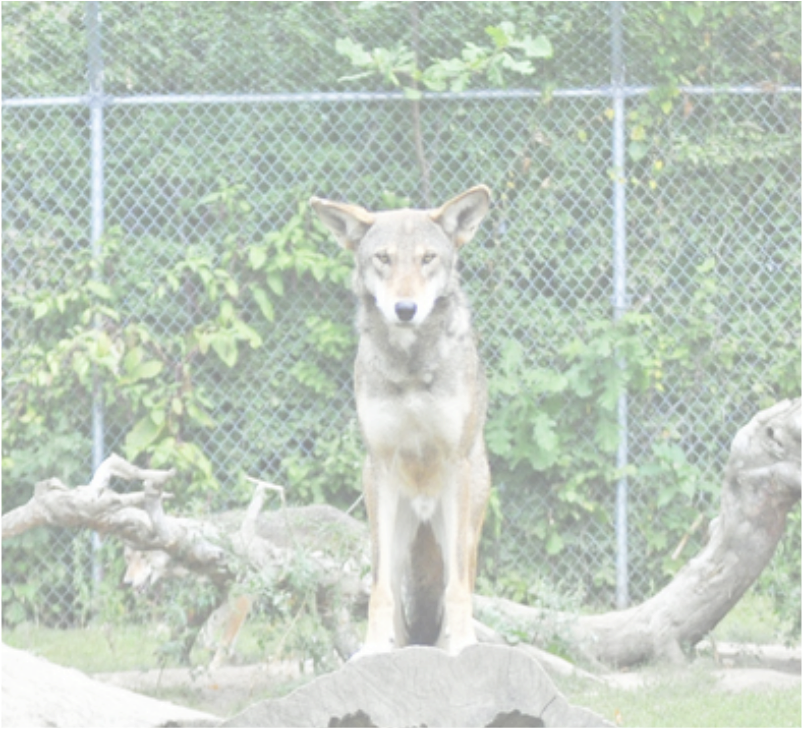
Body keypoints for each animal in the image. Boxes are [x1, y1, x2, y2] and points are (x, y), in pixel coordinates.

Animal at [311, 185, 492, 657]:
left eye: (428, 258)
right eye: (384, 258)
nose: (405, 308)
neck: (410, 366)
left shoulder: (456, 464)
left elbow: (457, 589)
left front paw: (462, 646)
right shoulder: (381, 466)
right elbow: (379, 591)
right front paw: (375, 649)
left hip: (463, 522)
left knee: (458, 581)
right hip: (391, 527)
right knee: (391, 587)